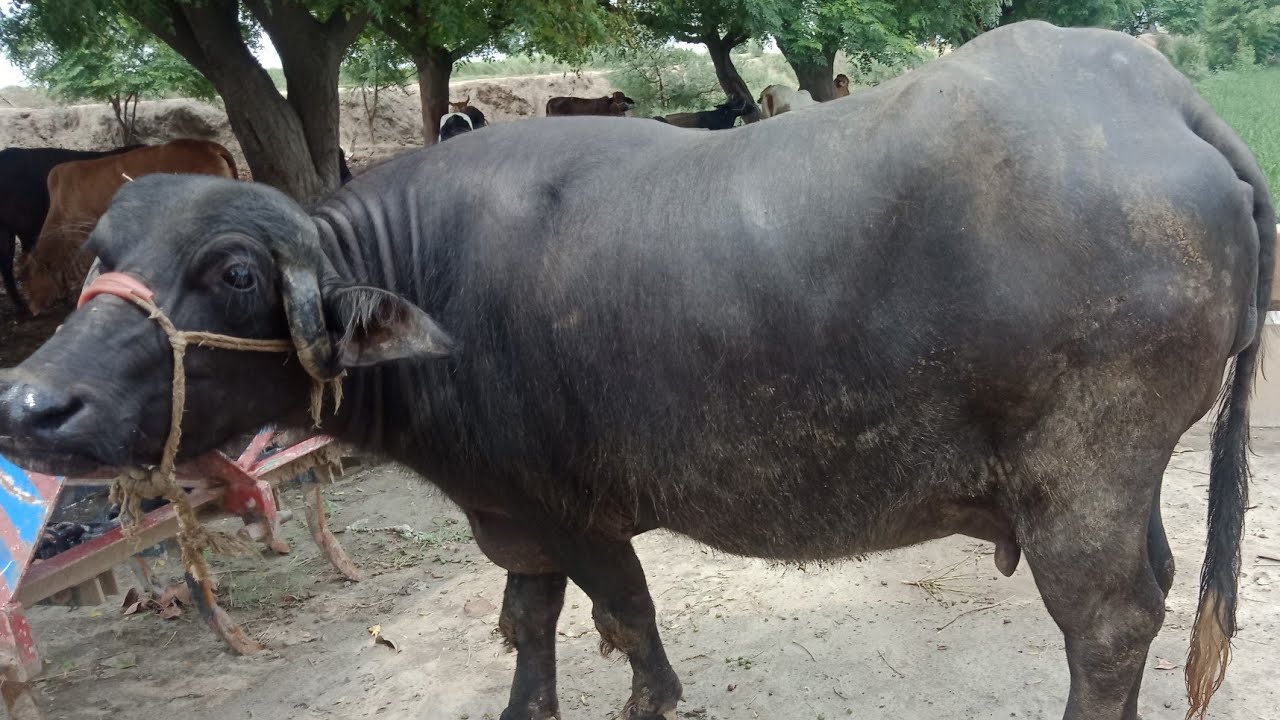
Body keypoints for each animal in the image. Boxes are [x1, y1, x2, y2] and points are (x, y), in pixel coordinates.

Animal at [0, 21, 1272, 720]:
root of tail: (1168, 104)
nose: (32, 401)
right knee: (1155, 585)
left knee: (1107, 621)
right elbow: (529, 621)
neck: (430, 278)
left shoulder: (569, 510)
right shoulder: (511, 513)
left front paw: (643, 696)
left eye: (230, 272)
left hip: (1085, 469)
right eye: (102, 255)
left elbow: (623, 615)